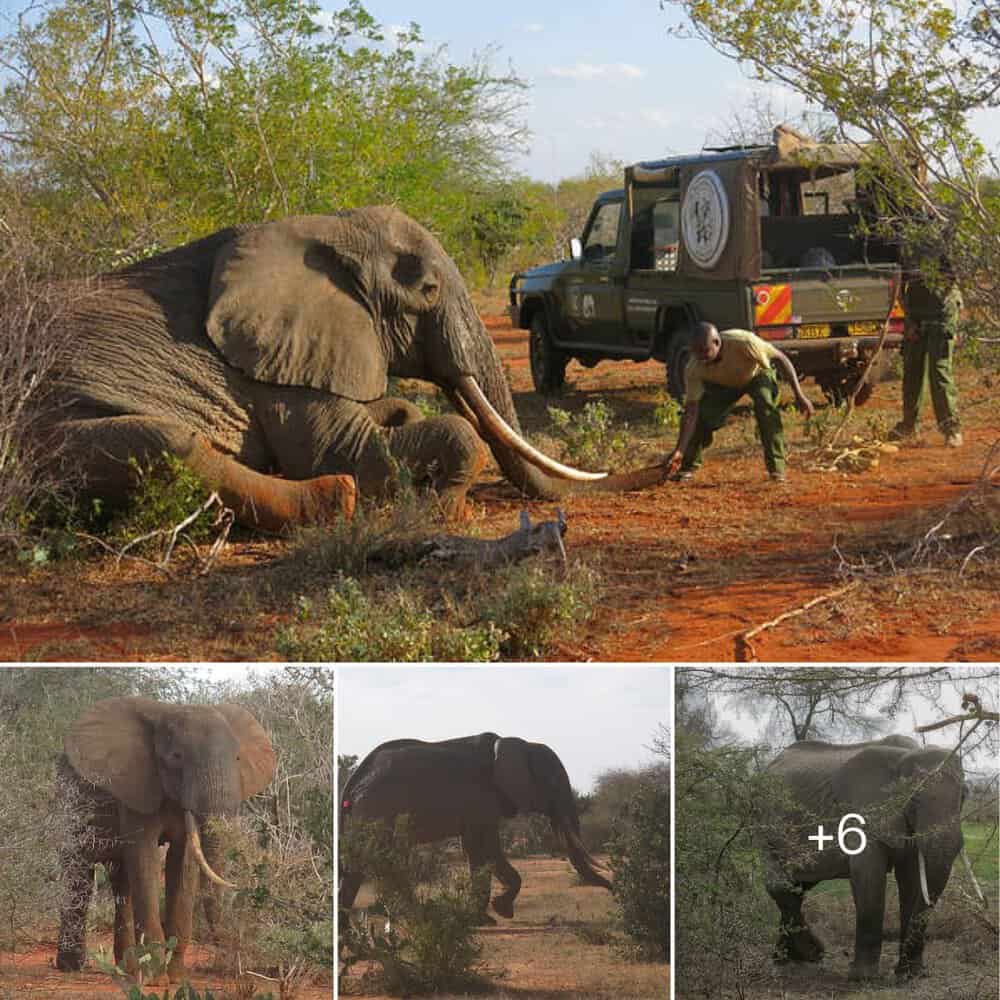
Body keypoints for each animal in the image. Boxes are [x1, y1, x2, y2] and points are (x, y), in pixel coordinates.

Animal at [47, 207, 668, 530]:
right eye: (428, 290)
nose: (670, 465)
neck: (322, 231)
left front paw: (402, 419)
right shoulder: (271, 366)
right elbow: (344, 446)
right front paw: (442, 507)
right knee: (168, 441)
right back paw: (335, 500)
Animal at [55, 696, 276, 982]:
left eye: (237, 758)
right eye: (176, 757)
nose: (242, 968)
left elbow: (183, 863)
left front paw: (176, 977)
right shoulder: (137, 784)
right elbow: (146, 856)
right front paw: (155, 978)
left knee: (122, 882)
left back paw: (127, 971)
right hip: (68, 803)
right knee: (78, 875)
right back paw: (72, 967)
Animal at [339, 732, 612, 922]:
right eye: (554, 782)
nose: (613, 889)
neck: (517, 744)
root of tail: (353, 780)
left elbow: (476, 850)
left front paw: (490, 915)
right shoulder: (480, 799)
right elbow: (486, 848)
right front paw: (497, 913)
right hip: (377, 809)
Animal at [761, 733, 983, 981]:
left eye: (963, 797)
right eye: (913, 801)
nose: (911, 972)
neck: (905, 757)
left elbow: (911, 880)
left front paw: (909, 974)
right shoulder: (863, 812)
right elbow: (869, 877)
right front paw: (864, 978)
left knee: (798, 888)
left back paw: (789, 959)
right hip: (765, 825)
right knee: (780, 885)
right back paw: (812, 955)